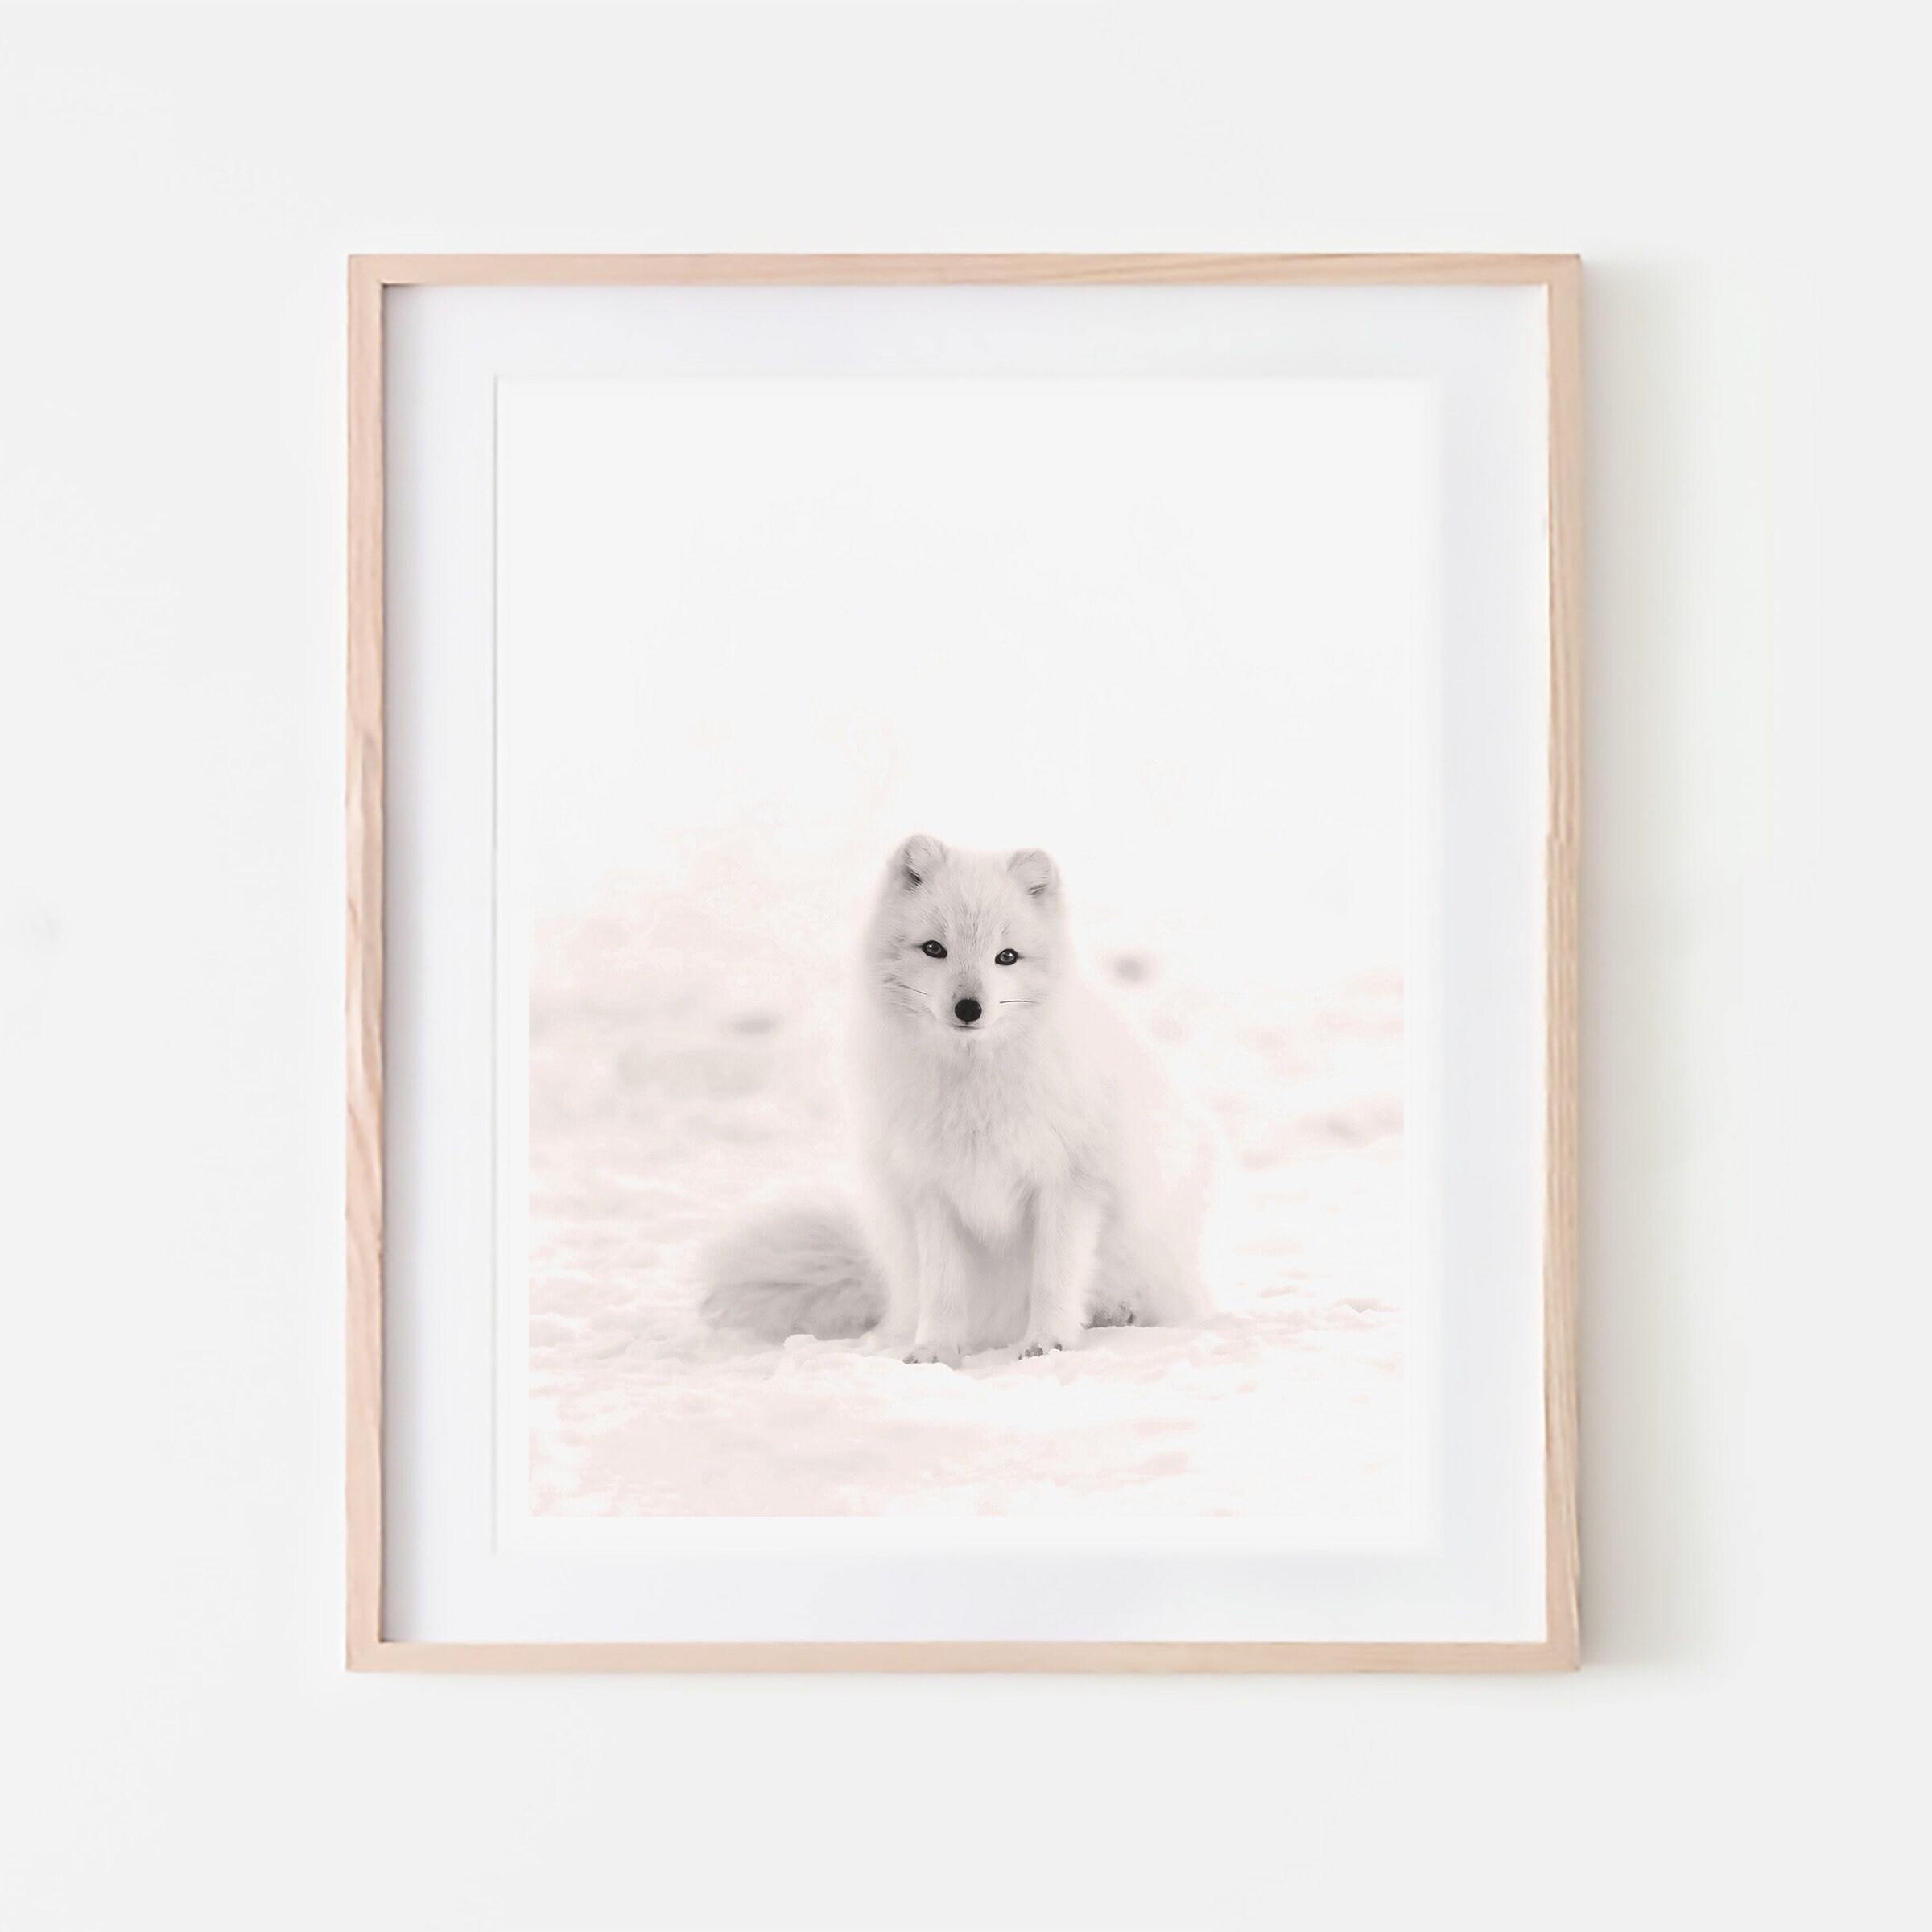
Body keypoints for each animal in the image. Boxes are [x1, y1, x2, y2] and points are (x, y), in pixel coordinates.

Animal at [700, 833, 1217, 1365]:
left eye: (1006, 957)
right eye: (934, 949)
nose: (969, 1008)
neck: (974, 1090)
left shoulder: (1069, 1183)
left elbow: (1054, 1277)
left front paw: (1048, 1342)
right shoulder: (933, 1190)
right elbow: (944, 1287)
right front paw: (935, 1349)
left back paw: (1119, 1312)